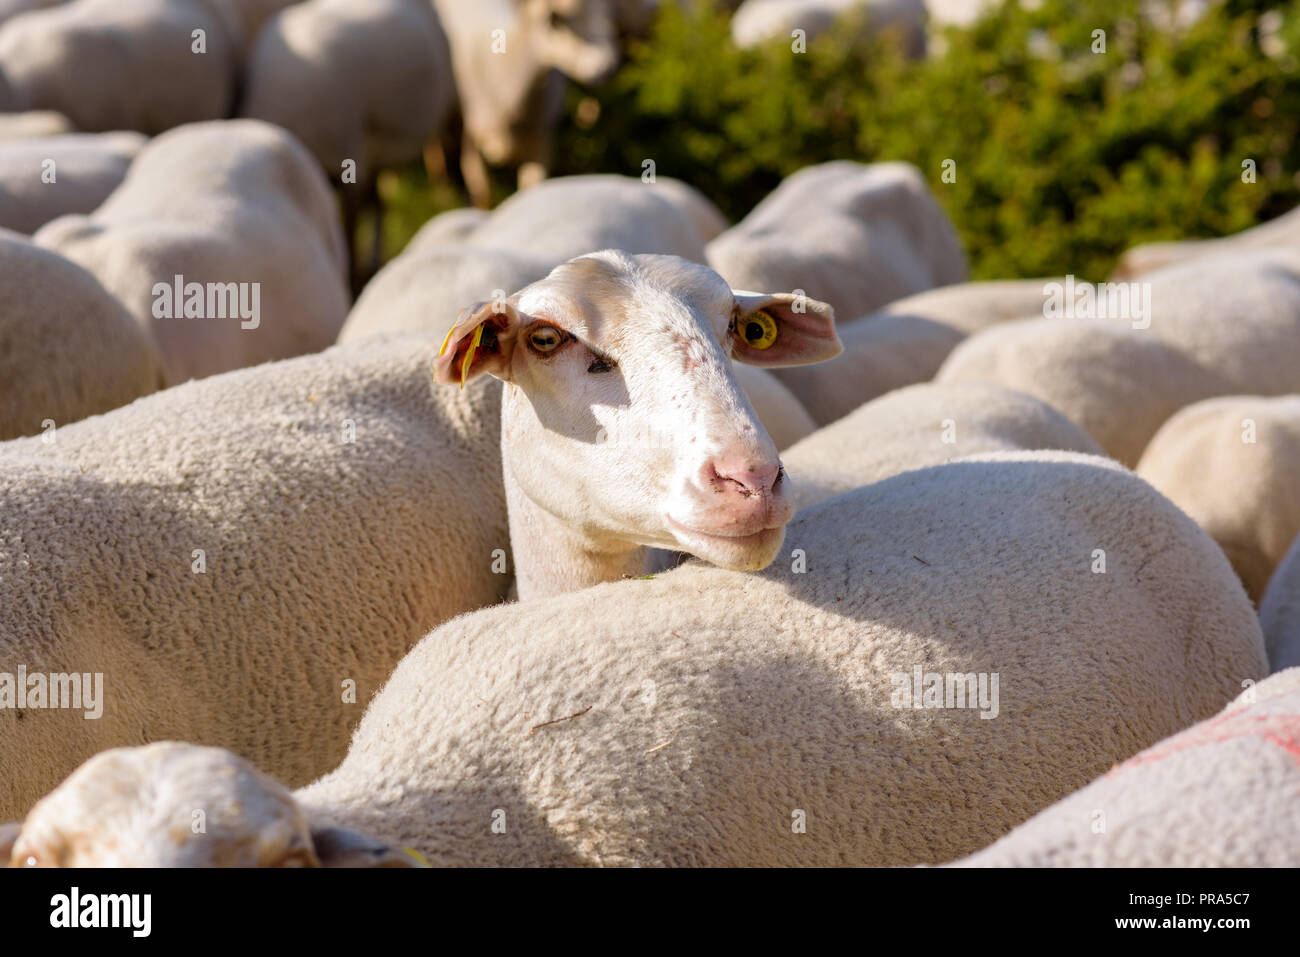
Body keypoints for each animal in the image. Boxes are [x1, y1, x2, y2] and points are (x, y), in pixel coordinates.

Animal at [238, 0, 456, 283]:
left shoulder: (351, 164)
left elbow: (351, 237)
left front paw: (352, 278)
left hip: (451, 104)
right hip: (374, 151)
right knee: (379, 202)